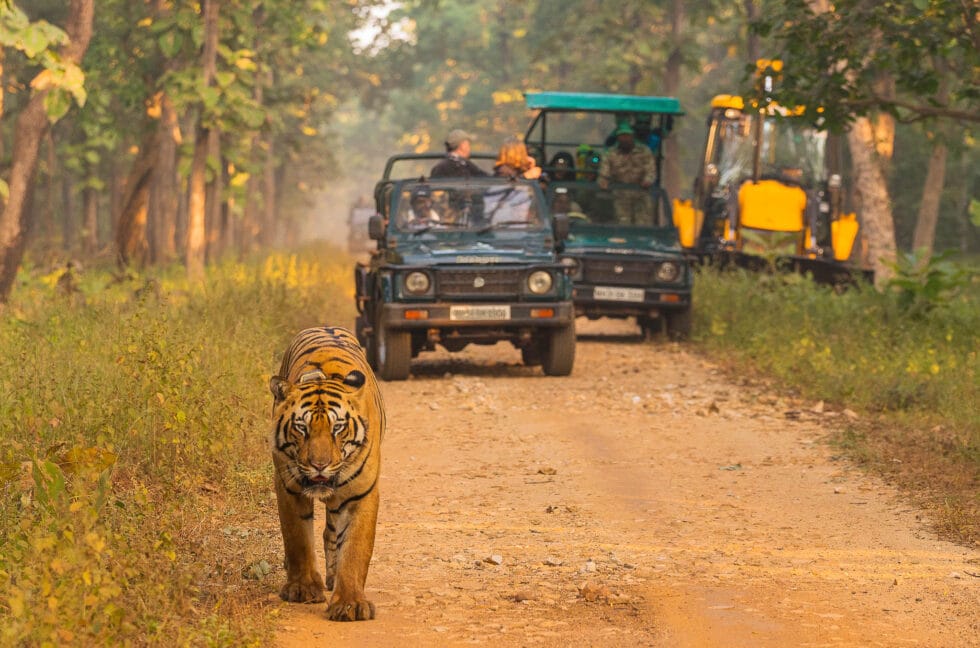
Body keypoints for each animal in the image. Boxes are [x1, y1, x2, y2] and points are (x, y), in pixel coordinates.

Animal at [269, 326, 384, 621]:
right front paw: (302, 588)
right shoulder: (288, 487)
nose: (319, 464)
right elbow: (297, 538)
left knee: (332, 533)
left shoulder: (361, 493)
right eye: (301, 427)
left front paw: (350, 603)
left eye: (338, 427)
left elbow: (355, 548)